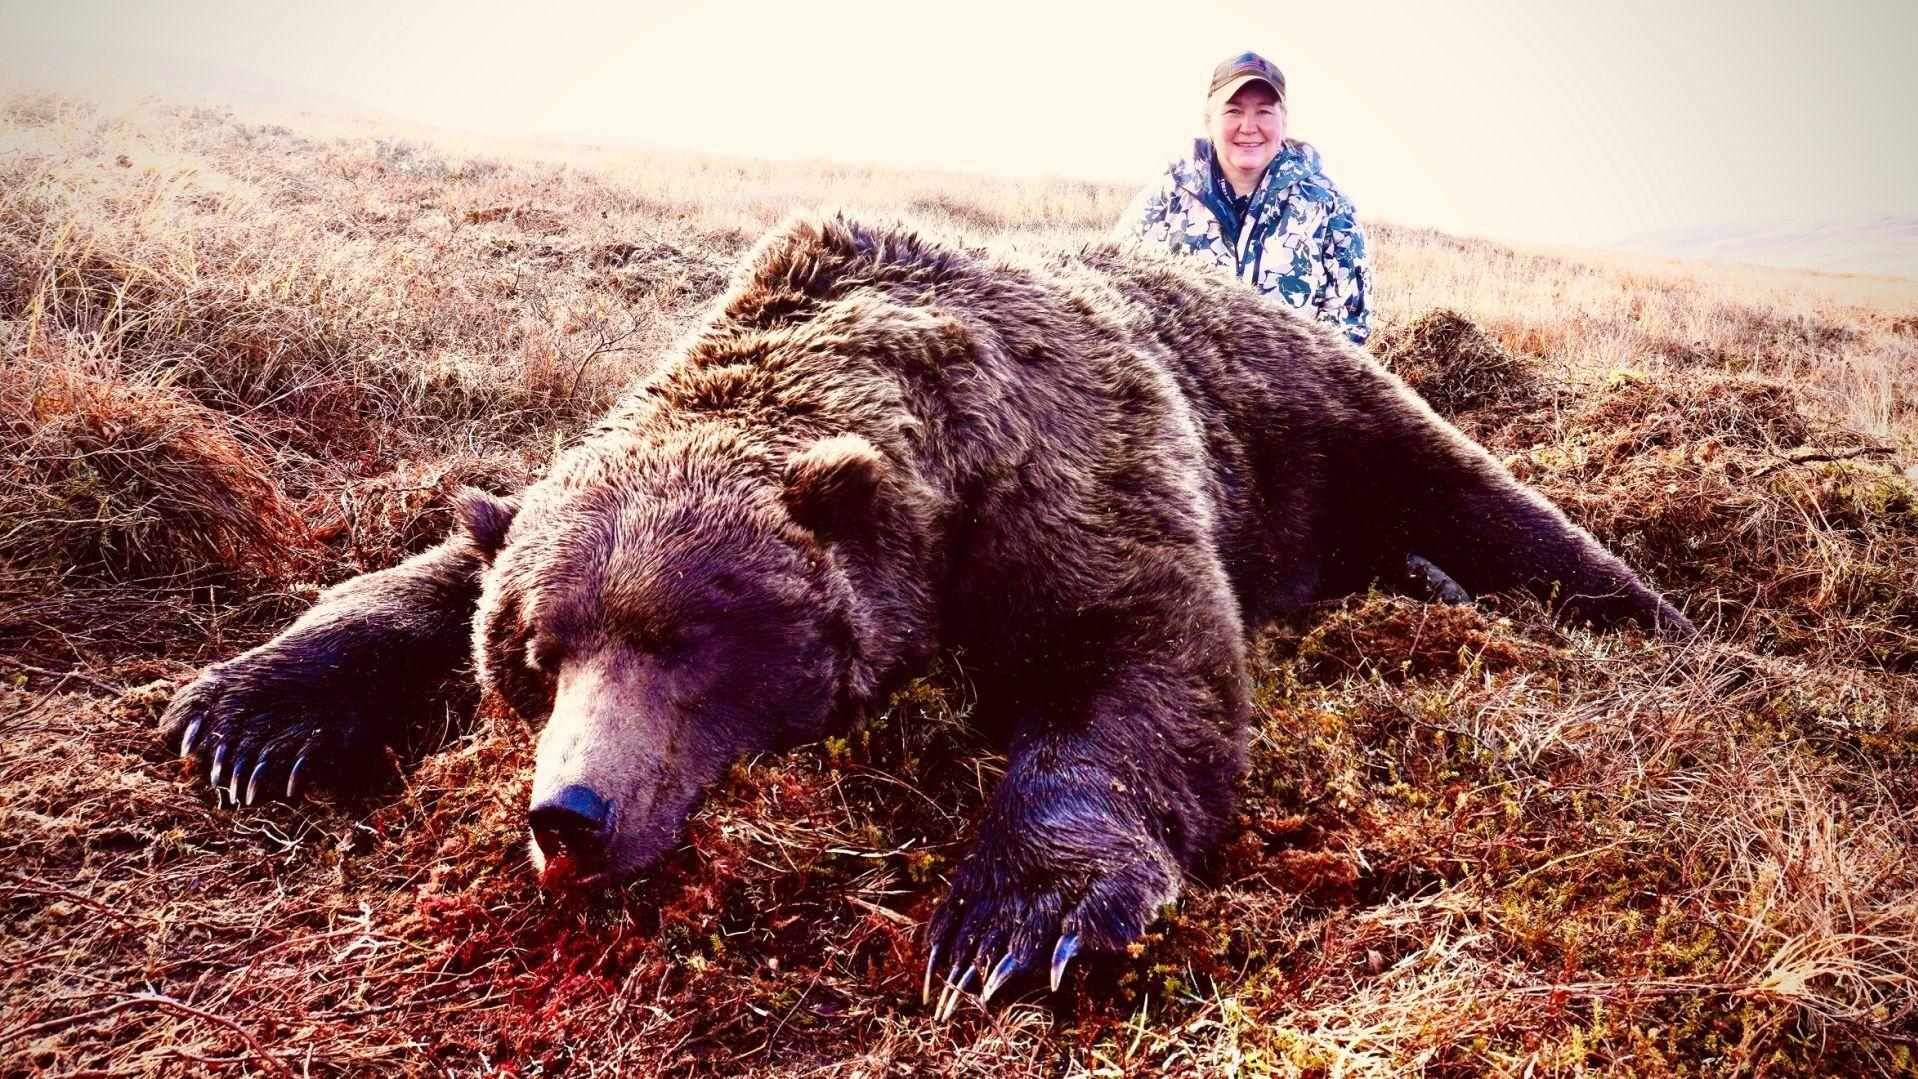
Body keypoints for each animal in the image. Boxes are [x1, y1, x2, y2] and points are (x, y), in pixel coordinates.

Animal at [162, 213, 1693, 1014]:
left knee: (1492, 504)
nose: (571, 813)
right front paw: (246, 712)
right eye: (540, 656)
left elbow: (1141, 668)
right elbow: (431, 562)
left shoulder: (1073, 475)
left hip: (1323, 414)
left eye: (683, 638)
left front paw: (1017, 915)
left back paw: (1646, 617)